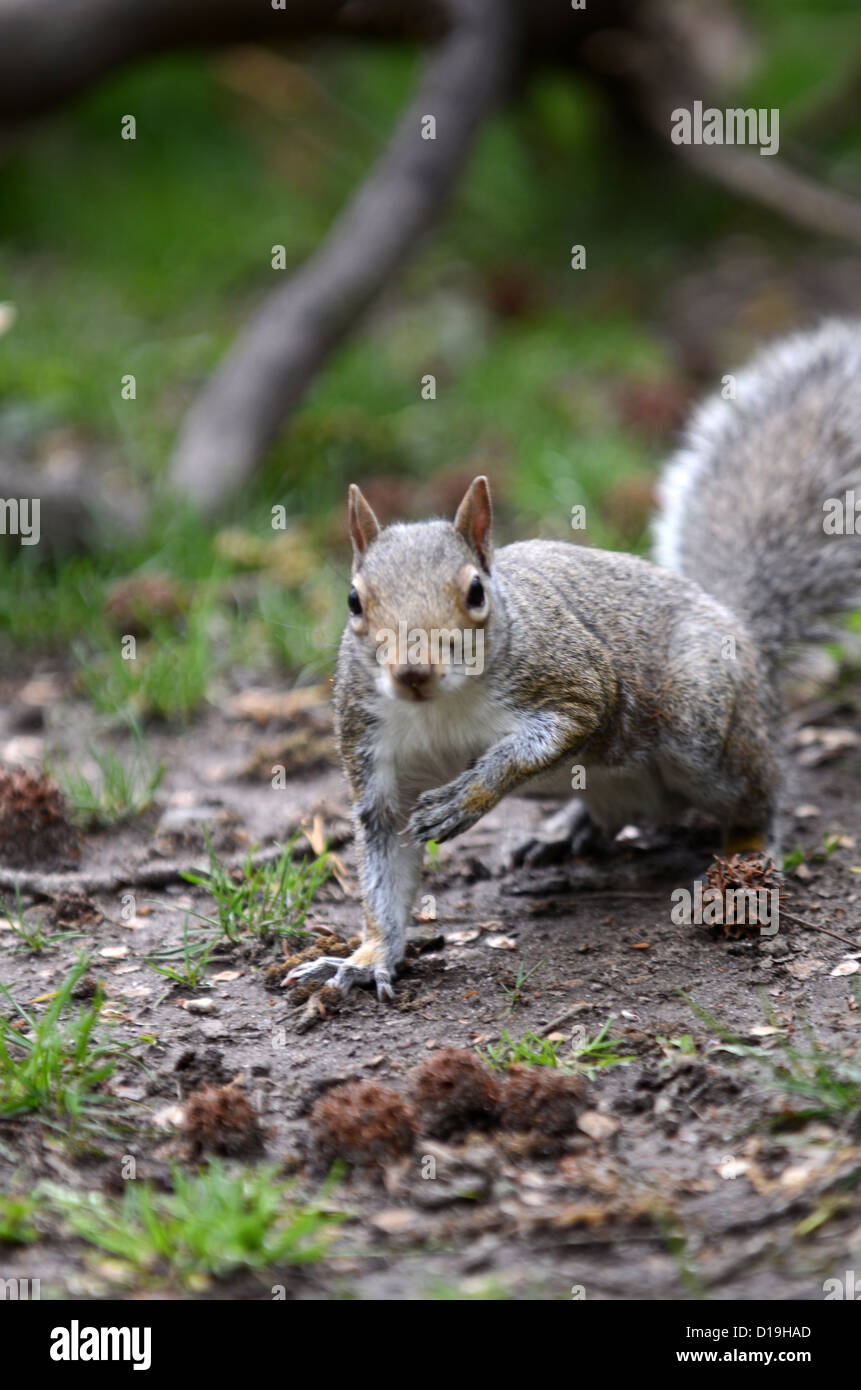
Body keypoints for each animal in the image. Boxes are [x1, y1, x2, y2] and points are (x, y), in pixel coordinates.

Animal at [288, 319, 861, 1000]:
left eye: (476, 592)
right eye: (354, 600)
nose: (413, 673)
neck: (441, 710)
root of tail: (740, 630)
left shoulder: (574, 679)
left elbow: (546, 736)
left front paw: (469, 797)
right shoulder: (374, 756)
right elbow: (385, 867)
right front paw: (367, 958)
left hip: (701, 723)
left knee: (758, 790)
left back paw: (745, 850)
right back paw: (567, 832)